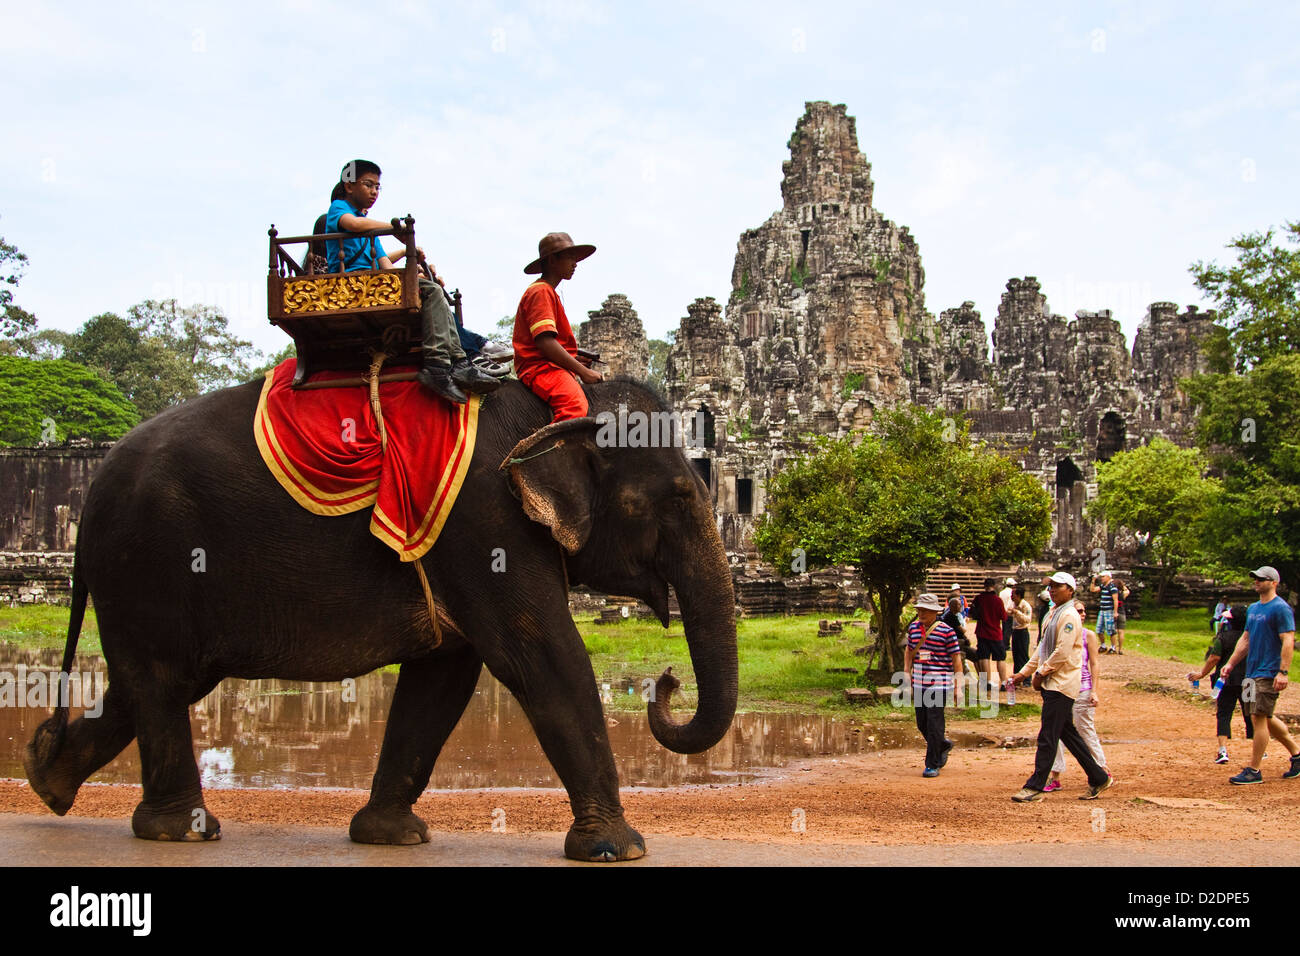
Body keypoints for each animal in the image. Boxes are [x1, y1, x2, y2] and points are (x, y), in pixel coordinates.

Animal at [24, 376, 738, 862]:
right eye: (678, 495)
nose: (667, 681)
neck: (559, 405)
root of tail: (91, 492)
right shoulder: (487, 523)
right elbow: (541, 657)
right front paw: (620, 848)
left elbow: (444, 675)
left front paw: (391, 836)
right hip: (147, 560)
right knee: (160, 680)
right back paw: (181, 831)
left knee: (150, 684)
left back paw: (48, 778)